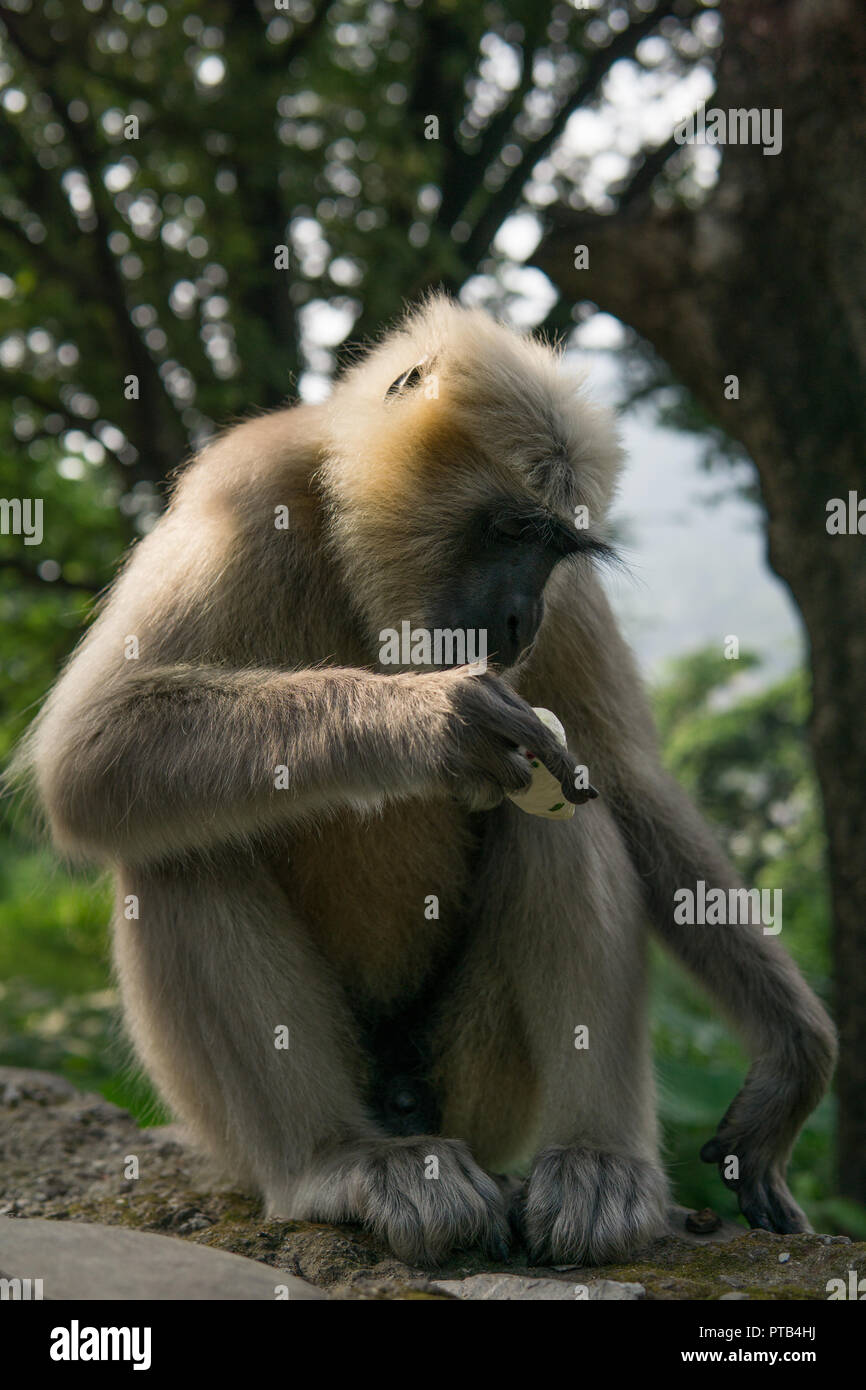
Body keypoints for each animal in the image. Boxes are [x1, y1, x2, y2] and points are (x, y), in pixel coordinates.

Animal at [15, 295, 837, 1267]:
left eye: (554, 549)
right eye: (511, 531)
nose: (520, 618)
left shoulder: (570, 601)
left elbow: (625, 786)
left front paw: (794, 1053)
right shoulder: (247, 492)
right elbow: (88, 756)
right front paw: (435, 722)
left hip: (475, 1087)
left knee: (562, 819)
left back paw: (597, 1166)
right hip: (231, 1126)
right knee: (180, 849)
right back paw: (338, 1161)